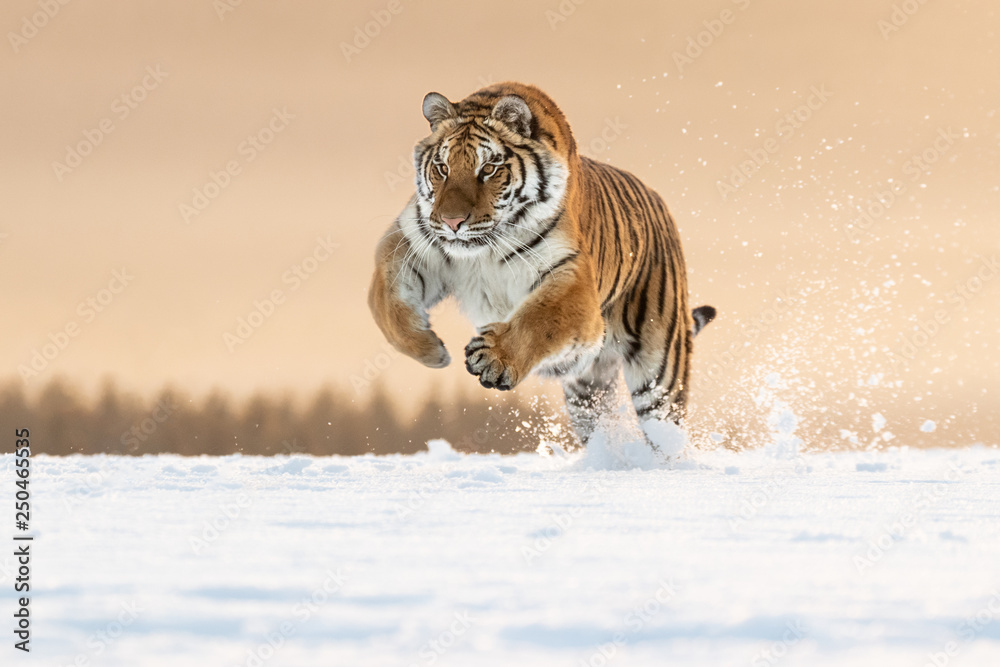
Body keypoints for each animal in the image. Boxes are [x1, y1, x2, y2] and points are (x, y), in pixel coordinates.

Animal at [368, 82, 716, 455]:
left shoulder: (572, 278)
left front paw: (493, 358)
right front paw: (431, 350)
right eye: (442, 168)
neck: (483, 249)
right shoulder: (410, 241)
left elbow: (540, 317)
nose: (452, 222)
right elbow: (384, 304)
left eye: (488, 169)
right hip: (586, 390)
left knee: (666, 432)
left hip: (660, 372)